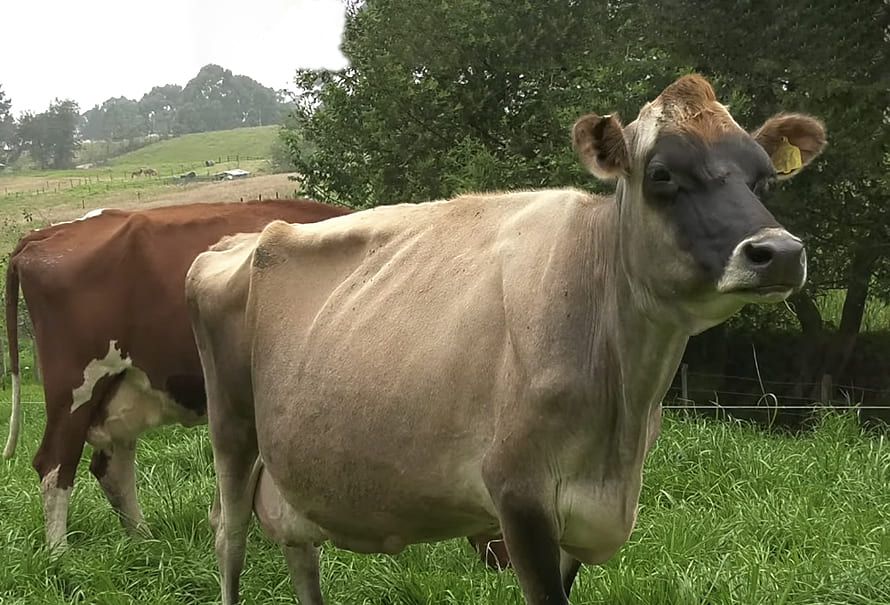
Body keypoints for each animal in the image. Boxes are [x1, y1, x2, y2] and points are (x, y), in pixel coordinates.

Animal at [186, 74, 826, 605]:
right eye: (662, 174)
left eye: (765, 178)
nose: (779, 253)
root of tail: (248, 236)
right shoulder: (518, 496)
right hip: (231, 430)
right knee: (229, 535)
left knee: (299, 548)